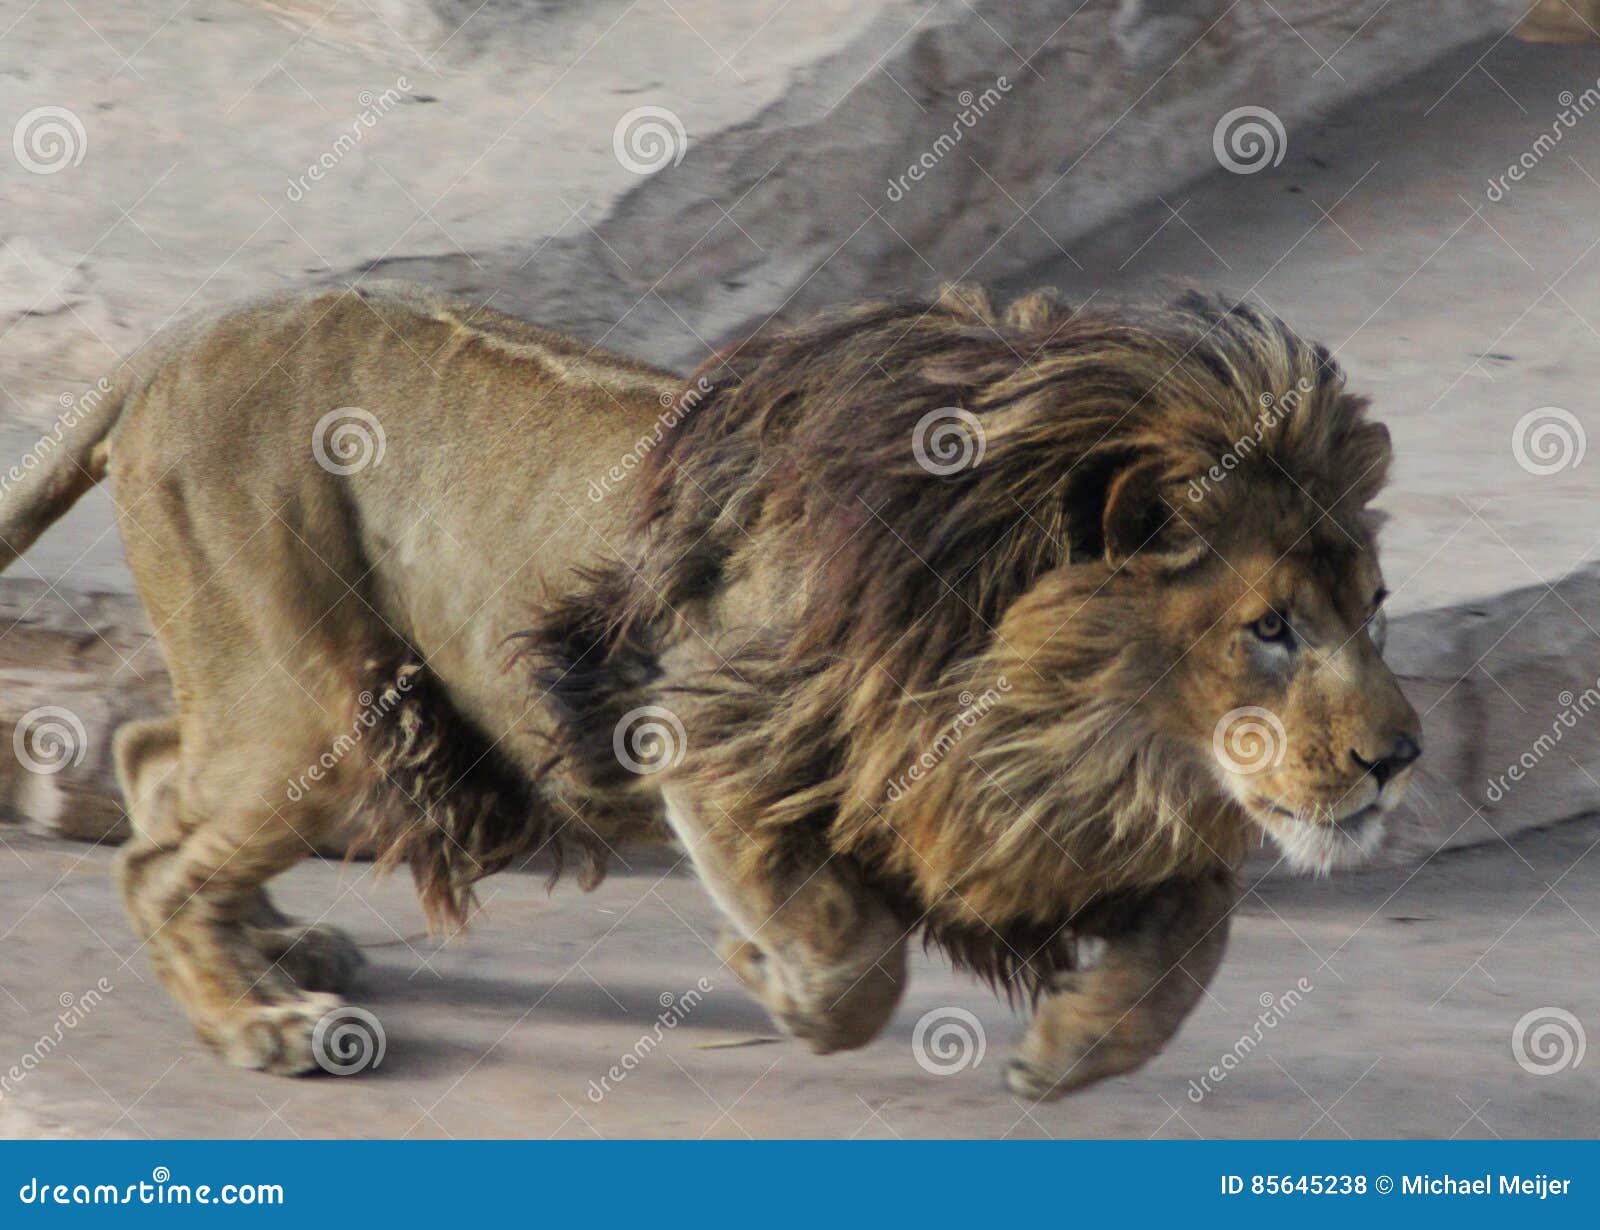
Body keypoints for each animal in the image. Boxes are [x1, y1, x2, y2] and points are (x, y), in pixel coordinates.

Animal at [0, 281, 1420, 1098]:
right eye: (1271, 628)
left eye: (1374, 608)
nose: (1397, 759)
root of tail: (165, 350)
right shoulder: (697, 734)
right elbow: (852, 959)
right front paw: (771, 981)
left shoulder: (1023, 816)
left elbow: (1198, 925)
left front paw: (1082, 1047)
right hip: (334, 720)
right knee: (157, 857)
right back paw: (263, 1021)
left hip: (309, 708)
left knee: (152, 765)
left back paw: (280, 947)